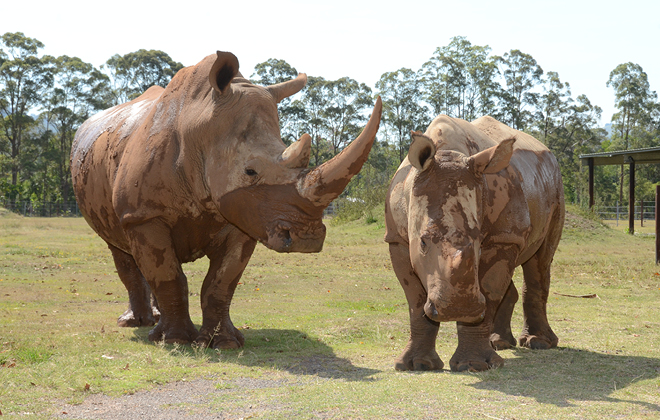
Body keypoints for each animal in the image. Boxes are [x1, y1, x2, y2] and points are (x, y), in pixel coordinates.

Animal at [71, 51, 382, 348]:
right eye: (250, 171)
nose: (307, 239)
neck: (199, 126)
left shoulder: (245, 218)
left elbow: (221, 282)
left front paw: (224, 344)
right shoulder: (144, 215)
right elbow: (168, 275)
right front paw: (175, 341)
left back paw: (155, 323)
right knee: (120, 249)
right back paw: (136, 325)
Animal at [385, 115, 564, 372]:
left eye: (479, 242)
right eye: (422, 242)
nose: (457, 308)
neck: (448, 153)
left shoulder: (502, 238)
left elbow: (489, 292)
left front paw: (475, 366)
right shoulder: (397, 239)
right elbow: (416, 301)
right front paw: (416, 365)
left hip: (554, 186)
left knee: (541, 260)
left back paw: (538, 344)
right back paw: (500, 343)